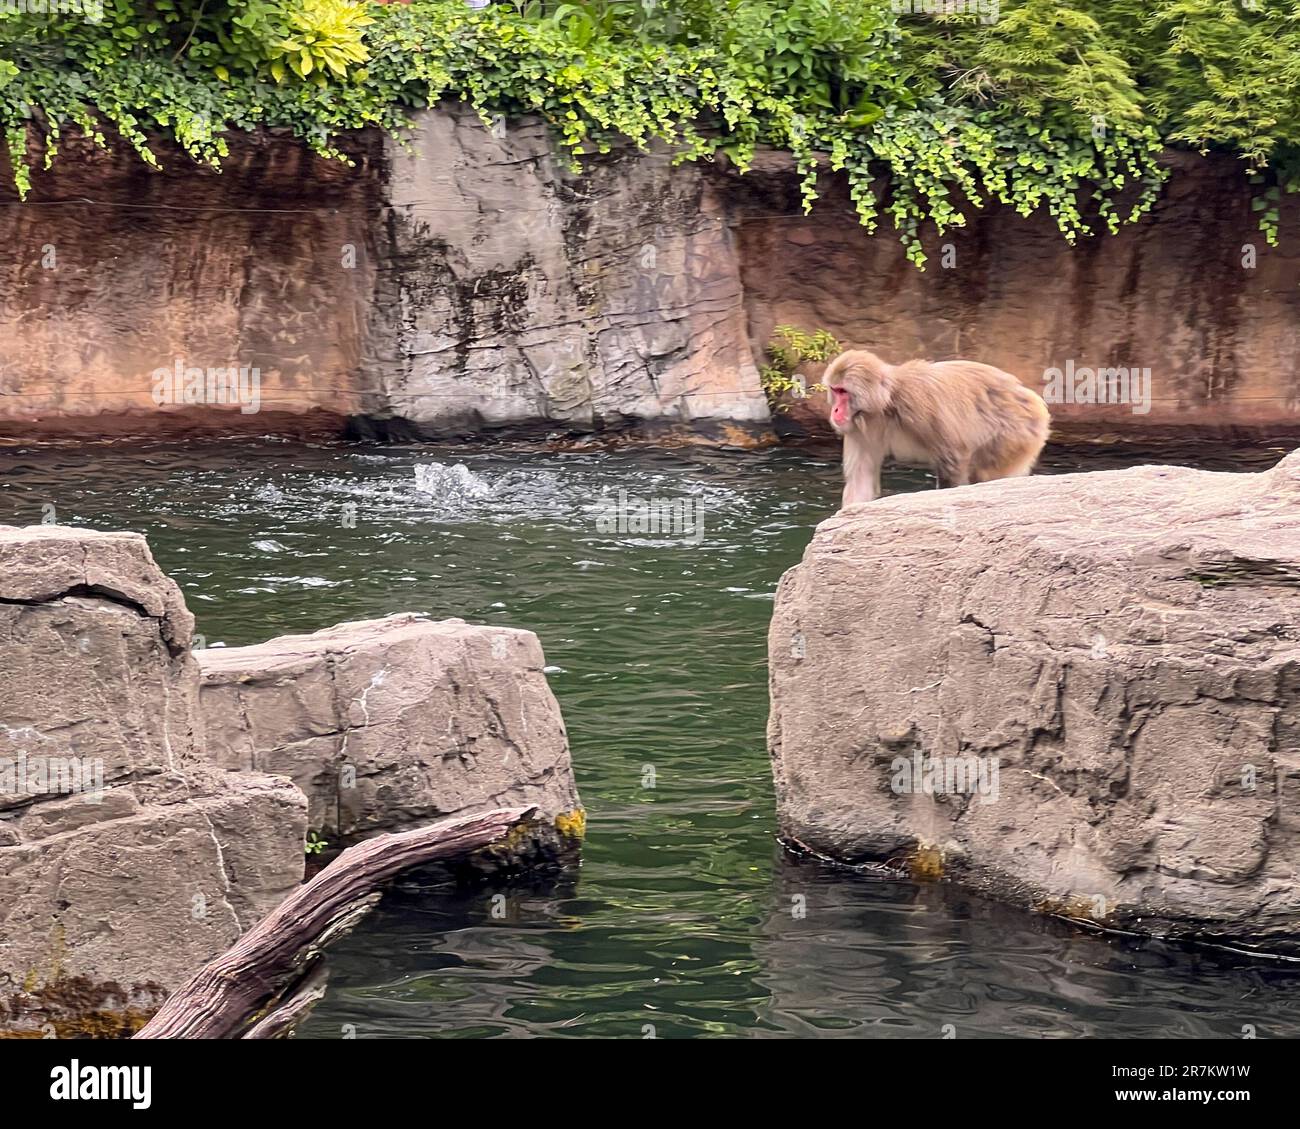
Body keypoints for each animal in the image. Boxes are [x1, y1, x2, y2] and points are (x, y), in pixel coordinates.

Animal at [825, 349, 1051, 507]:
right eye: (834, 390)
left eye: (843, 392)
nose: (835, 410)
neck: (884, 405)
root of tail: (1034, 400)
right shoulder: (856, 428)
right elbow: (860, 481)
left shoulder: (916, 403)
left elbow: (953, 458)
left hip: (1016, 433)